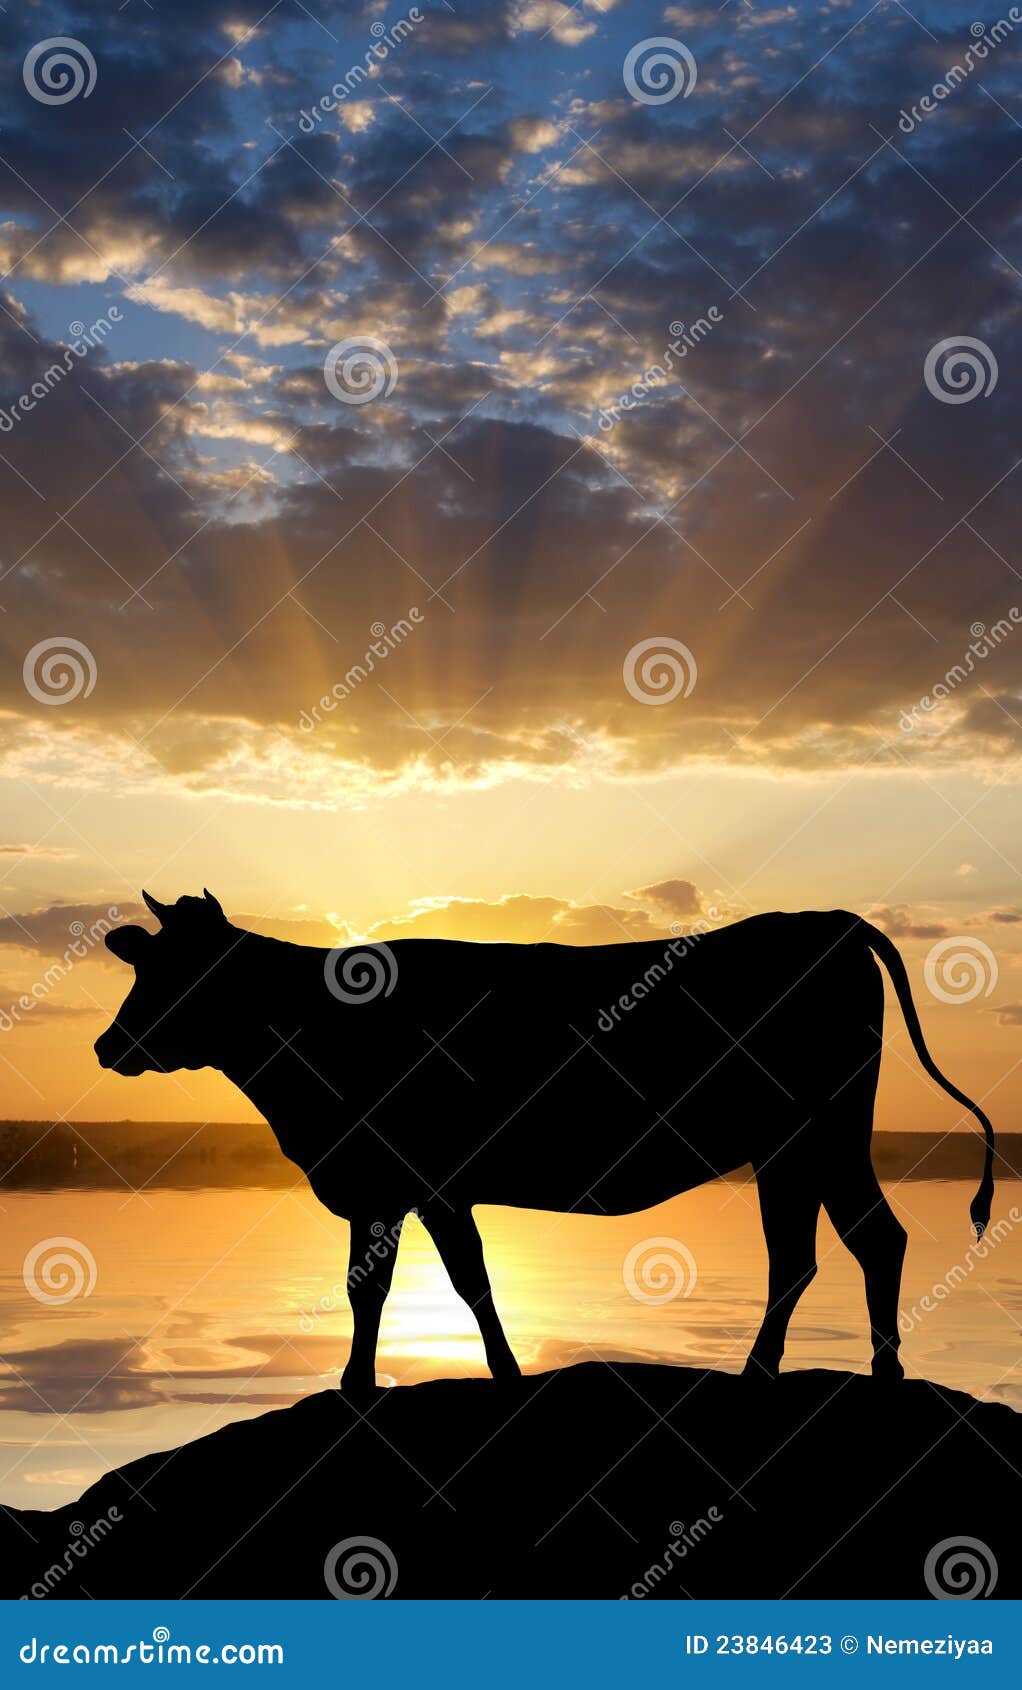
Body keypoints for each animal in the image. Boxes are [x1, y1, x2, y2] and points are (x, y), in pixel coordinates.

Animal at [95, 892, 995, 1400]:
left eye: (175, 971)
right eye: (147, 963)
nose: (109, 1045)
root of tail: (829, 921)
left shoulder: (413, 1181)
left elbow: (440, 1283)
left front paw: (446, 1375)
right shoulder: (395, 1188)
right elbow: (408, 1287)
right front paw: (397, 1379)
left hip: (824, 1132)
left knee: (861, 1240)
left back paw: (864, 1374)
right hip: (797, 1147)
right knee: (822, 1249)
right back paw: (791, 1372)